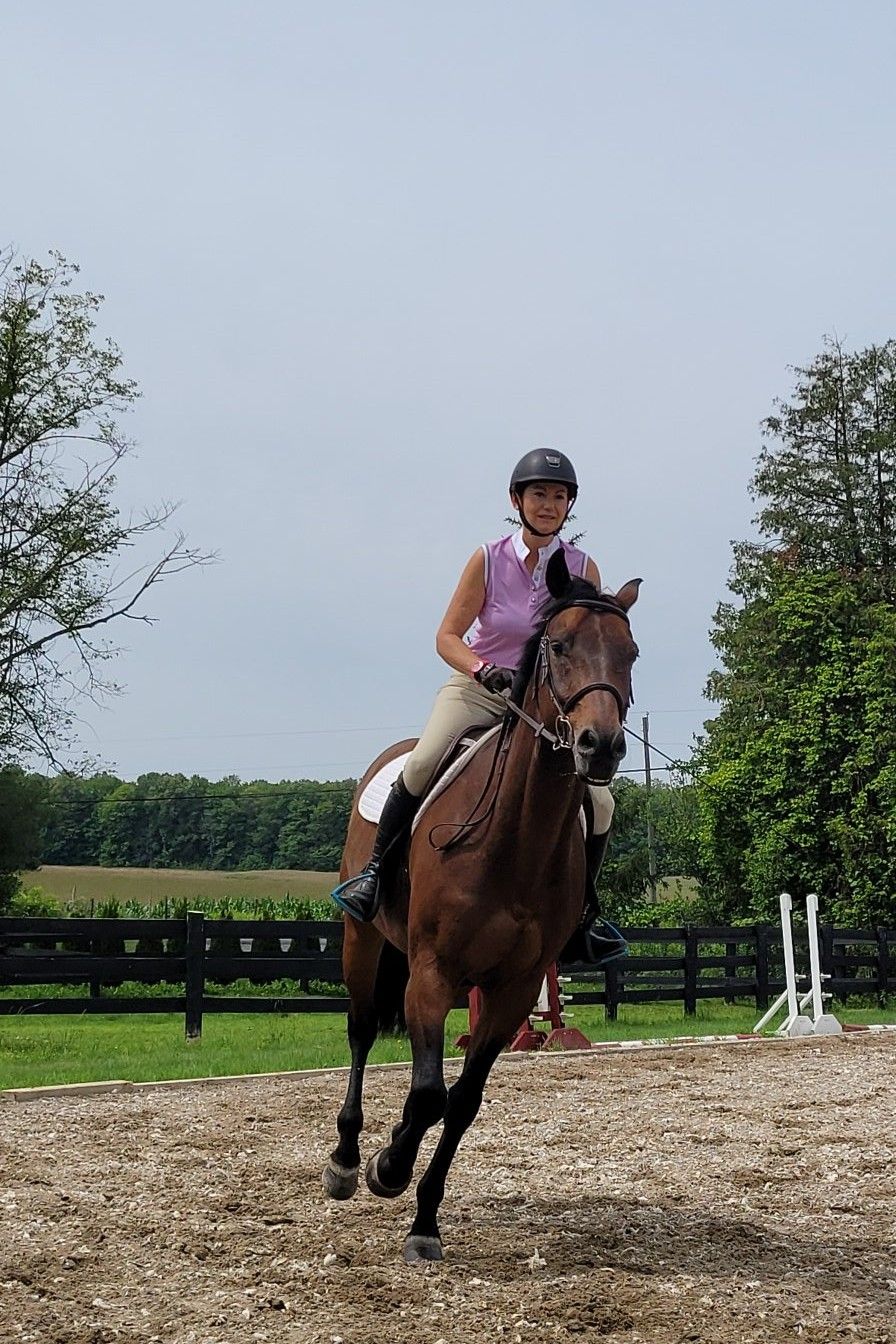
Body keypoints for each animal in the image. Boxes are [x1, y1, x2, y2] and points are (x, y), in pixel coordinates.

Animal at [322, 549, 640, 1262]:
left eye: (631, 652)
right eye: (559, 645)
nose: (600, 747)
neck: (515, 837)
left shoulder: (515, 988)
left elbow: (461, 1100)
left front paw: (423, 1218)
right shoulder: (433, 974)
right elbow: (427, 1093)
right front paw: (388, 1168)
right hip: (363, 940)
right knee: (360, 1030)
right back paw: (348, 1159)